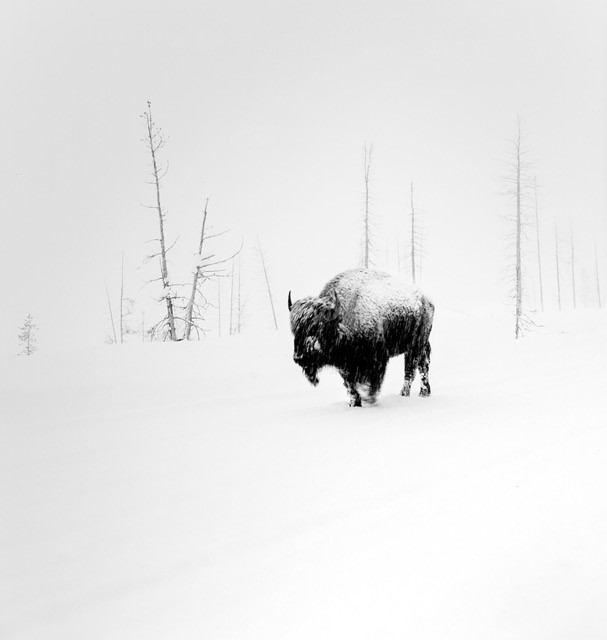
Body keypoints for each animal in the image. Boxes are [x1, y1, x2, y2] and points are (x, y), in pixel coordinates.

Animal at [288, 268, 434, 406]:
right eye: (294, 330)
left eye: (318, 327)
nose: (299, 357)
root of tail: (426, 300)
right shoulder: (346, 364)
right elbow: (350, 384)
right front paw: (354, 403)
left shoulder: (377, 358)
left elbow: (371, 382)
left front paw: (368, 398)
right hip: (419, 346)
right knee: (422, 366)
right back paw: (423, 393)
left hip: (415, 346)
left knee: (411, 370)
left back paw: (407, 394)